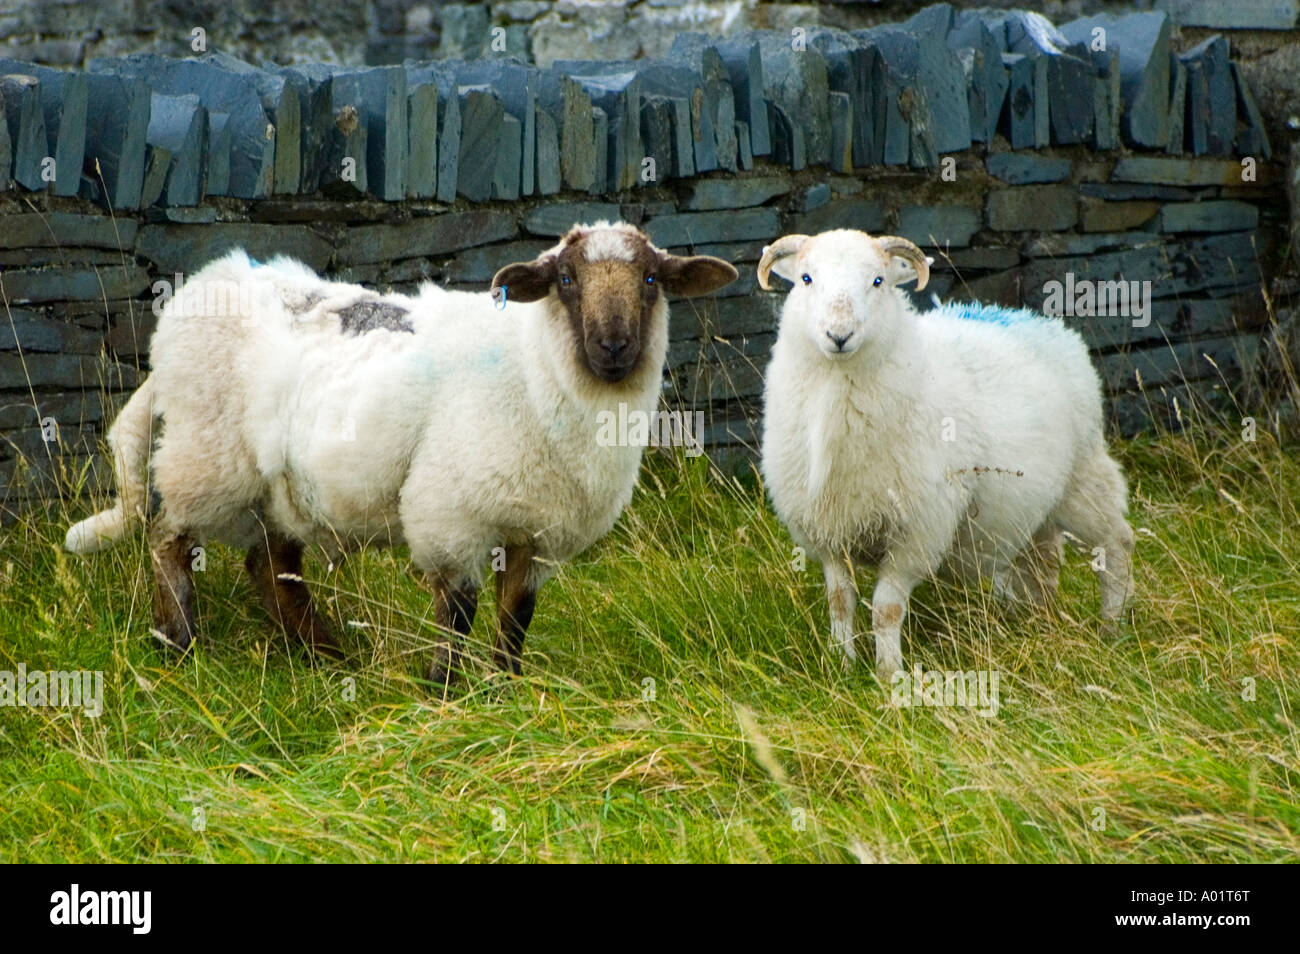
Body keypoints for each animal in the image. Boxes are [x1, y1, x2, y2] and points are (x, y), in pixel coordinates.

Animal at [65, 222, 737, 686]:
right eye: (566, 281)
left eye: (650, 280)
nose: (614, 348)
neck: (534, 369)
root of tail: (201, 288)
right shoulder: (451, 515)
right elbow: (459, 613)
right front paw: (444, 691)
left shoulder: (539, 535)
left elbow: (516, 618)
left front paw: (507, 688)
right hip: (204, 458)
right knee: (168, 542)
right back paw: (180, 644)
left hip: (279, 486)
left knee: (270, 567)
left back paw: (326, 655)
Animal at [757, 229, 1134, 680]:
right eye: (806, 279)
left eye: (878, 281)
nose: (839, 335)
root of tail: (1040, 322)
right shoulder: (829, 532)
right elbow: (840, 602)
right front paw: (841, 664)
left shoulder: (917, 531)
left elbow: (886, 609)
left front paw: (888, 674)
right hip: (1033, 504)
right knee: (1044, 559)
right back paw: (1036, 621)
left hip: (1084, 477)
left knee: (1116, 543)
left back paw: (1111, 626)